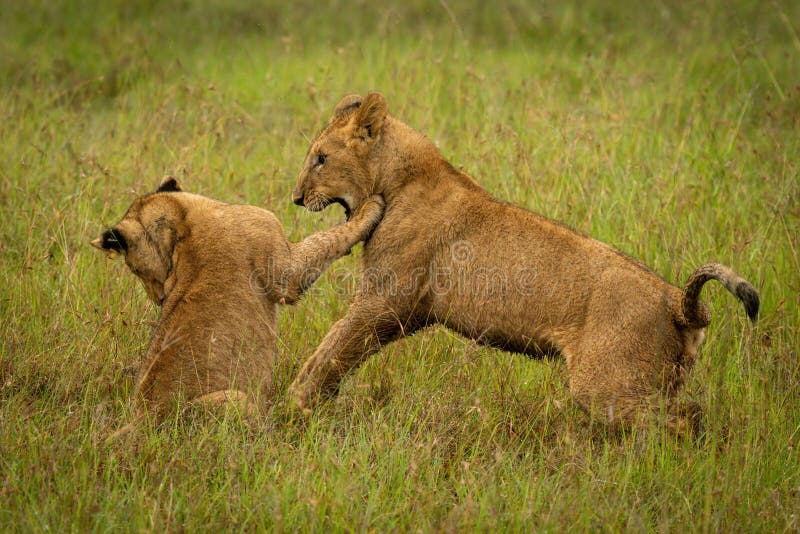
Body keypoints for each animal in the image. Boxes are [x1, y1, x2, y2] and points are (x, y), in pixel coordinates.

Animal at [91, 176, 384, 438]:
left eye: (134, 269)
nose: (158, 298)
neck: (188, 222)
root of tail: (142, 422)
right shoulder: (285, 269)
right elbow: (327, 239)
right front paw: (372, 206)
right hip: (233, 400)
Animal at [287, 92, 759, 433]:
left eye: (321, 158)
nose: (295, 198)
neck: (397, 178)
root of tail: (679, 302)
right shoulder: (400, 310)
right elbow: (333, 348)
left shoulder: (385, 302)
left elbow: (334, 349)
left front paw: (296, 405)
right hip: (658, 380)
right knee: (690, 414)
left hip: (605, 384)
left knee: (680, 422)